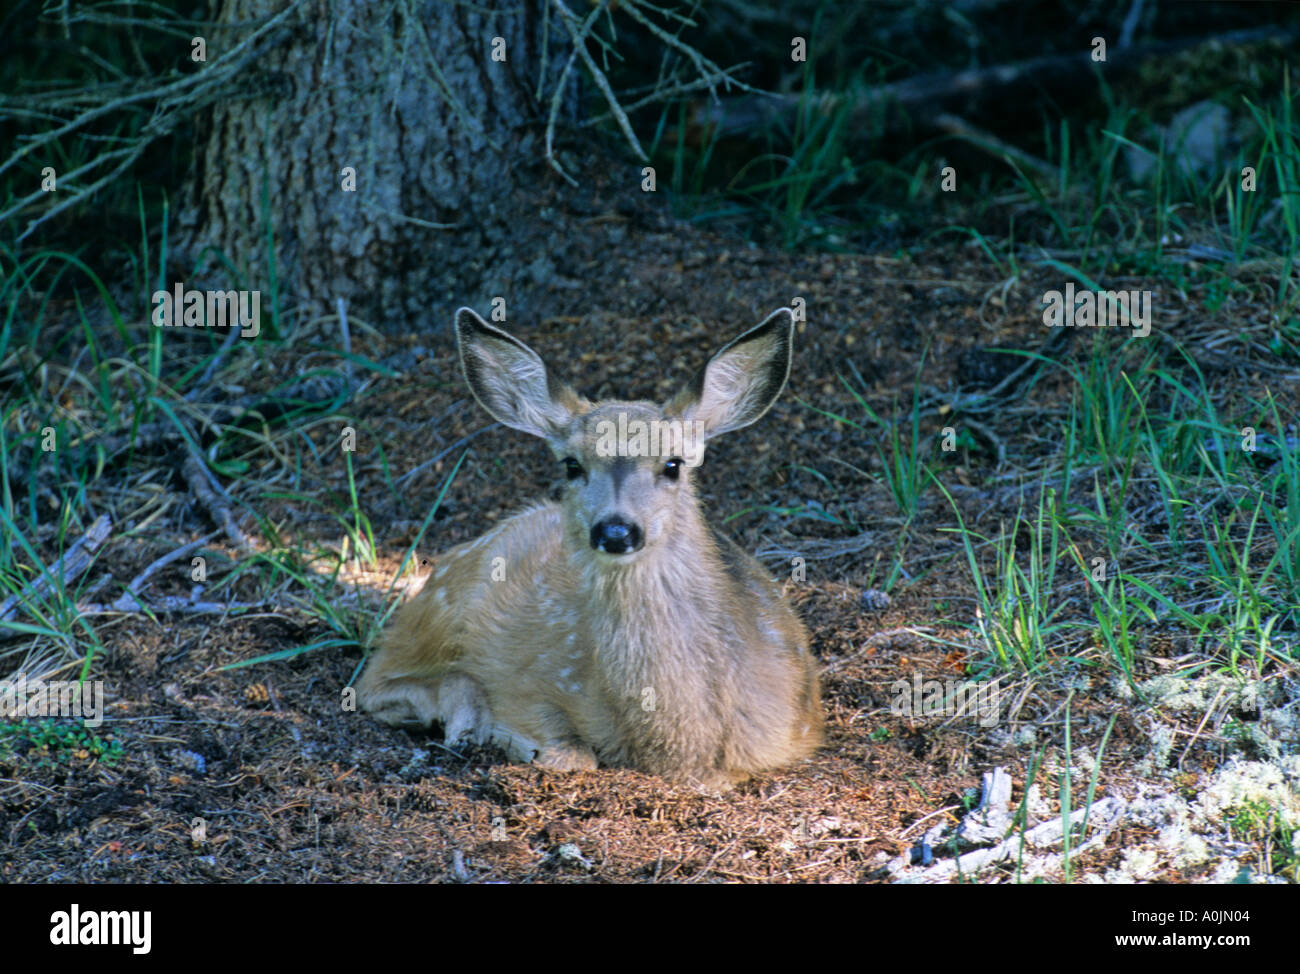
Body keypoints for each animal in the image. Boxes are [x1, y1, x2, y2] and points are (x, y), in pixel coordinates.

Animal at [356, 307, 823, 790]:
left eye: (673, 464)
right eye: (572, 464)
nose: (616, 531)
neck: (679, 747)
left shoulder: (798, 730)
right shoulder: (528, 682)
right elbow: (570, 753)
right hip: (441, 610)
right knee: (374, 679)